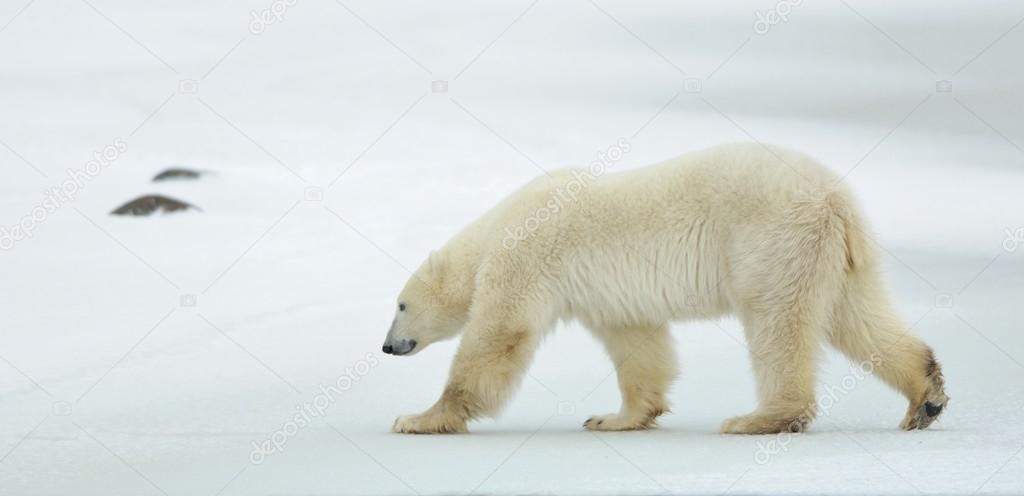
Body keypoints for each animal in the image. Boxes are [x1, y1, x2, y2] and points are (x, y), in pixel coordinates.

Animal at [382, 142, 948, 435]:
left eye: (401, 304)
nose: (388, 346)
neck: (496, 229)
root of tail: (836, 200)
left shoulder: (527, 257)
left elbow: (498, 336)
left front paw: (418, 418)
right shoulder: (610, 297)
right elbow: (639, 344)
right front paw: (613, 418)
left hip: (770, 241)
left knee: (776, 322)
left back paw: (758, 418)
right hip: (838, 257)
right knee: (859, 318)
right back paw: (925, 398)